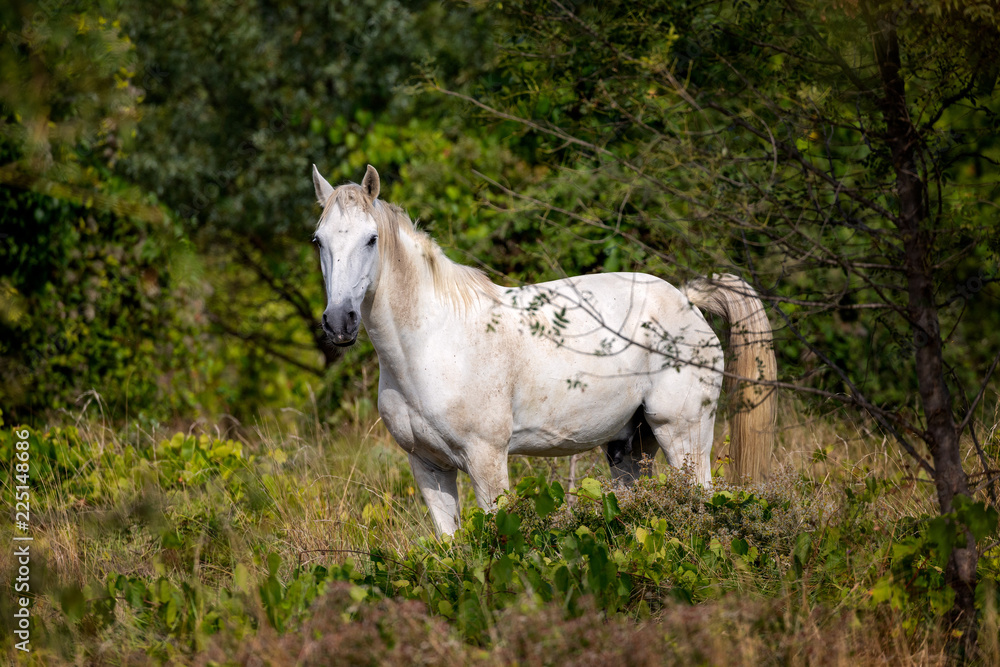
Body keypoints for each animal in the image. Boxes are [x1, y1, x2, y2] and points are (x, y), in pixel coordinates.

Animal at [311, 164, 776, 536]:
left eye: (371, 239)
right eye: (318, 241)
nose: (339, 323)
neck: (429, 344)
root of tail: (686, 301)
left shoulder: (486, 460)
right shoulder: (428, 467)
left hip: (682, 434)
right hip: (630, 446)